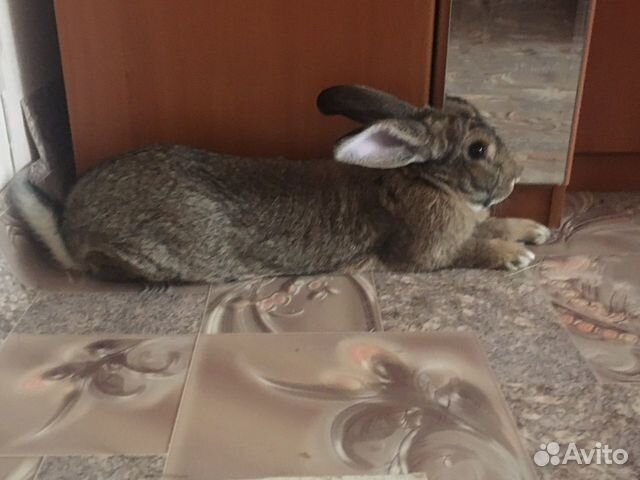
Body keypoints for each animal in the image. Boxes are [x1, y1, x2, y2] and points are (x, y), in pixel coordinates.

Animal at [9, 84, 550, 284]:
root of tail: (71, 228)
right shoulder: (427, 251)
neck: (424, 176)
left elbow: (490, 226)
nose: (517, 176)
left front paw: (534, 230)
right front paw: (514, 256)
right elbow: (466, 250)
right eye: (477, 150)